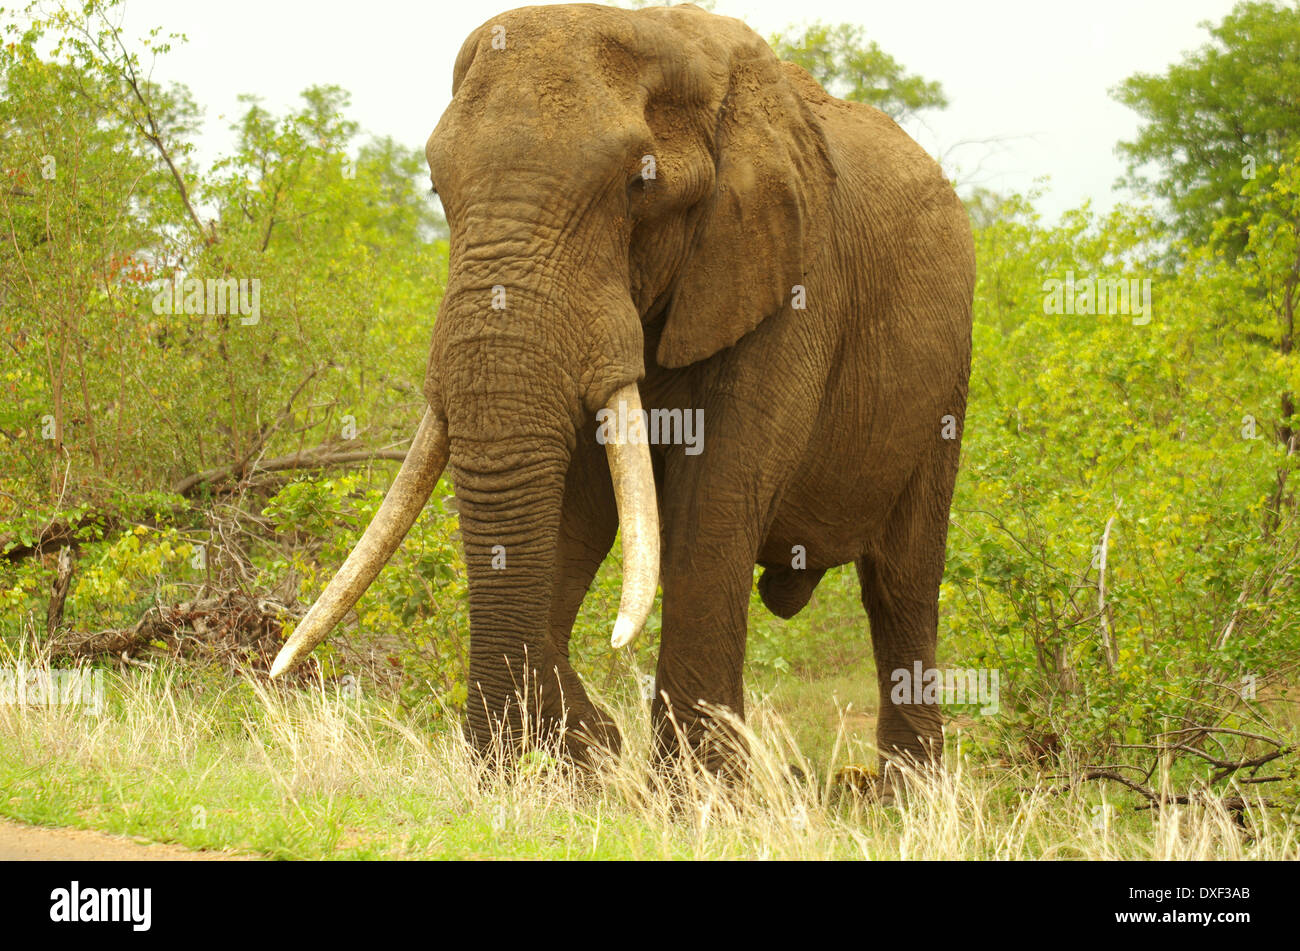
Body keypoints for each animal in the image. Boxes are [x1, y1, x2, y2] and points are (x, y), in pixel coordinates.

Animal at [270, 3, 974, 776]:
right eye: (436, 188)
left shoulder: (794, 282)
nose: (503, 762)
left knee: (903, 583)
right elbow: (573, 513)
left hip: (947, 384)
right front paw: (583, 754)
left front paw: (700, 788)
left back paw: (904, 789)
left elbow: (713, 504)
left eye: (640, 182)